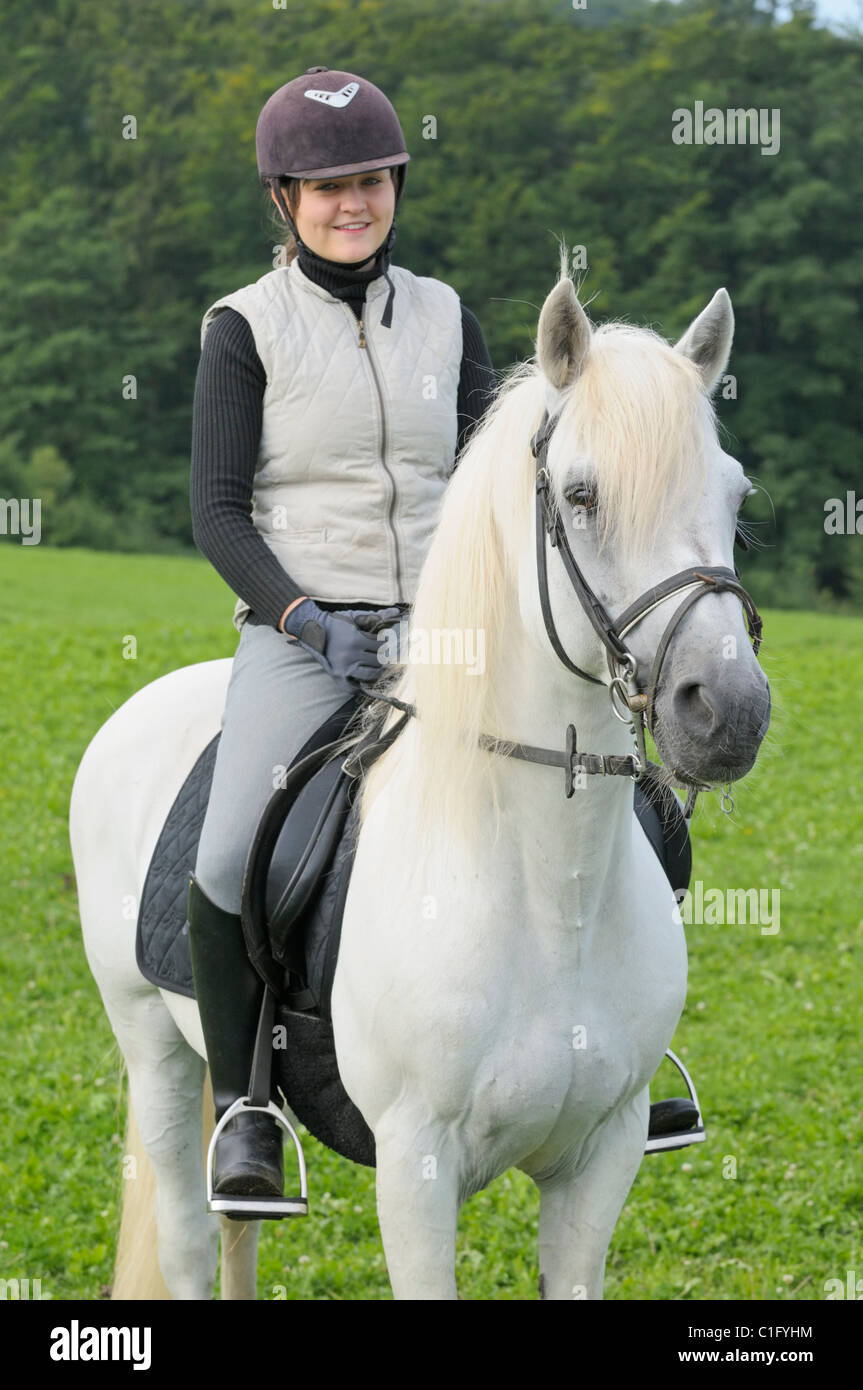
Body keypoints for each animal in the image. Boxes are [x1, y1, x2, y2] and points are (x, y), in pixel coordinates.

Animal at [70, 267, 770, 1300]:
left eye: (732, 493)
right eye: (581, 494)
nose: (726, 711)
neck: (544, 894)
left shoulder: (599, 1162)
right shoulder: (415, 1169)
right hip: (150, 1043)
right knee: (189, 1237)